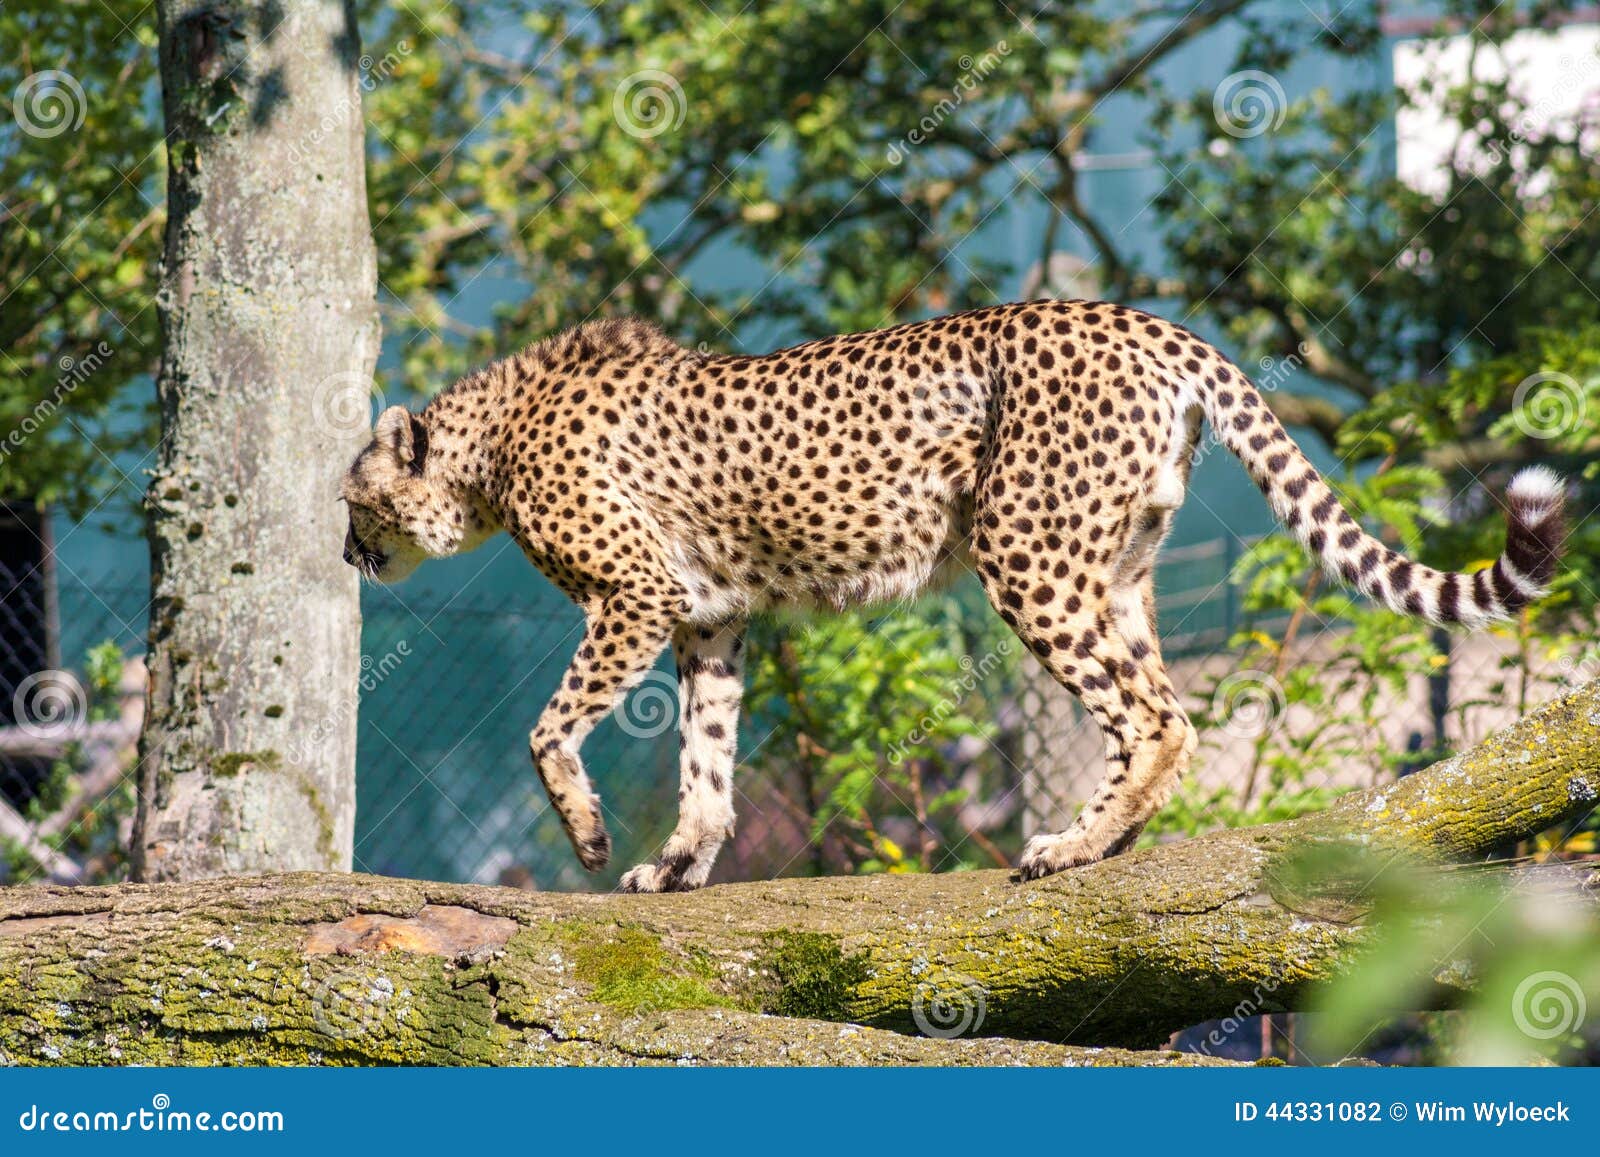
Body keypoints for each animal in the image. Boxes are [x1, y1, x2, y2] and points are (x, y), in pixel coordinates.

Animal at [340, 300, 1565, 891]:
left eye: (355, 502)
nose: (350, 556)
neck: (486, 448)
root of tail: (1141, 318)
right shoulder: (710, 617)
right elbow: (707, 754)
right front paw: (681, 860)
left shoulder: (635, 596)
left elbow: (547, 727)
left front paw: (593, 837)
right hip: (1112, 569)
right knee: (1153, 708)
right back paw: (1101, 835)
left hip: (1025, 554)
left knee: (1157, 718)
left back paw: (1073, 846)